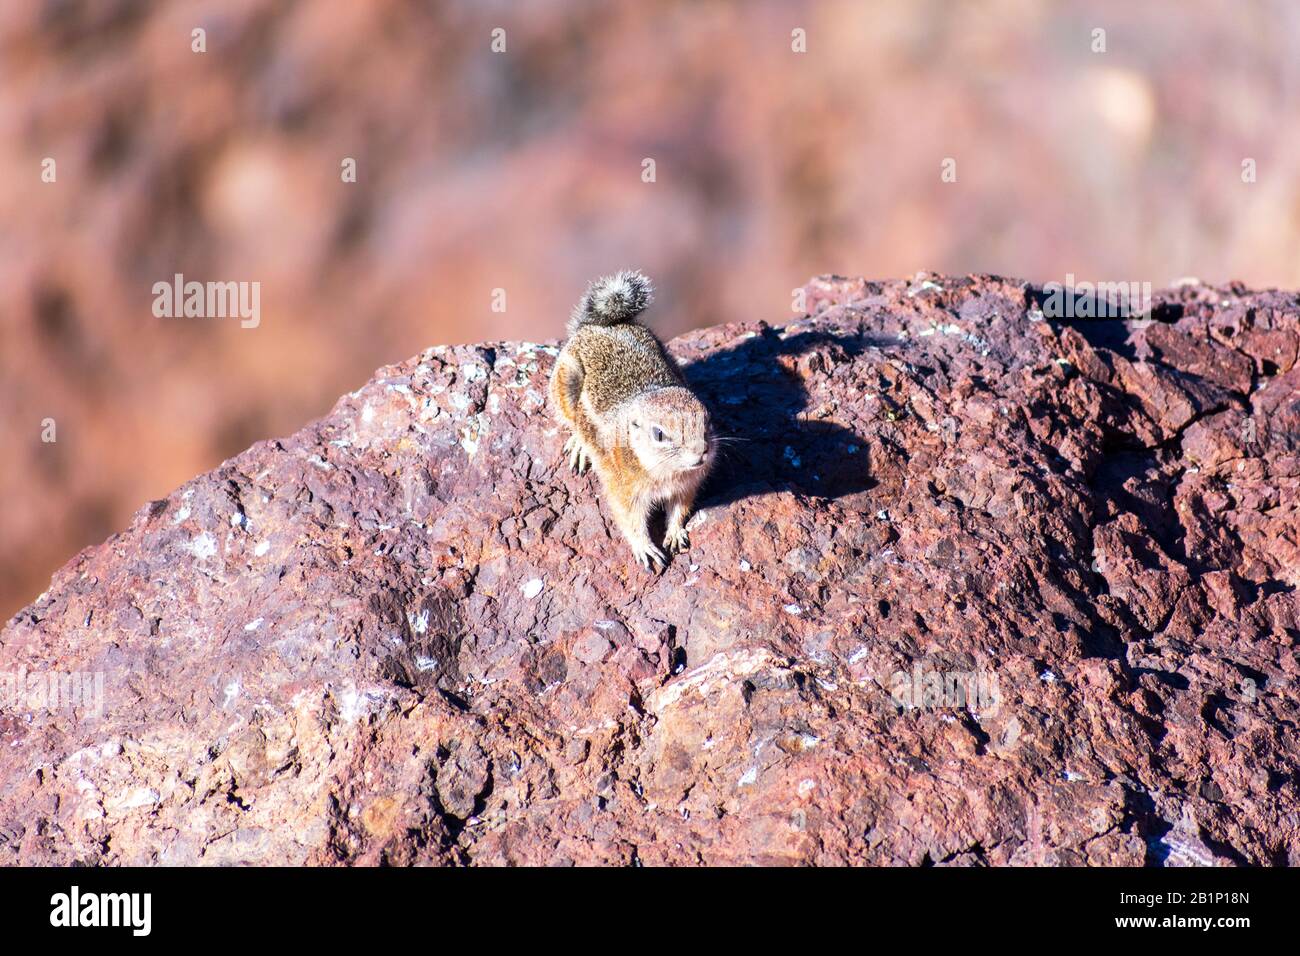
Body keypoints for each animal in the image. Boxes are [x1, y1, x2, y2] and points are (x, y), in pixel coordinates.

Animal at [549, 271, 714, 572]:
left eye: (707, 421)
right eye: (659, 434)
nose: (702, 452)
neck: (665, 473)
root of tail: (595, 326)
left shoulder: (686, 487)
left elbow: (680, 509)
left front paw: (675, 533)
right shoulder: (623, 491)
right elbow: (630, 521)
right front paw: (645, 548)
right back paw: (579, 446)